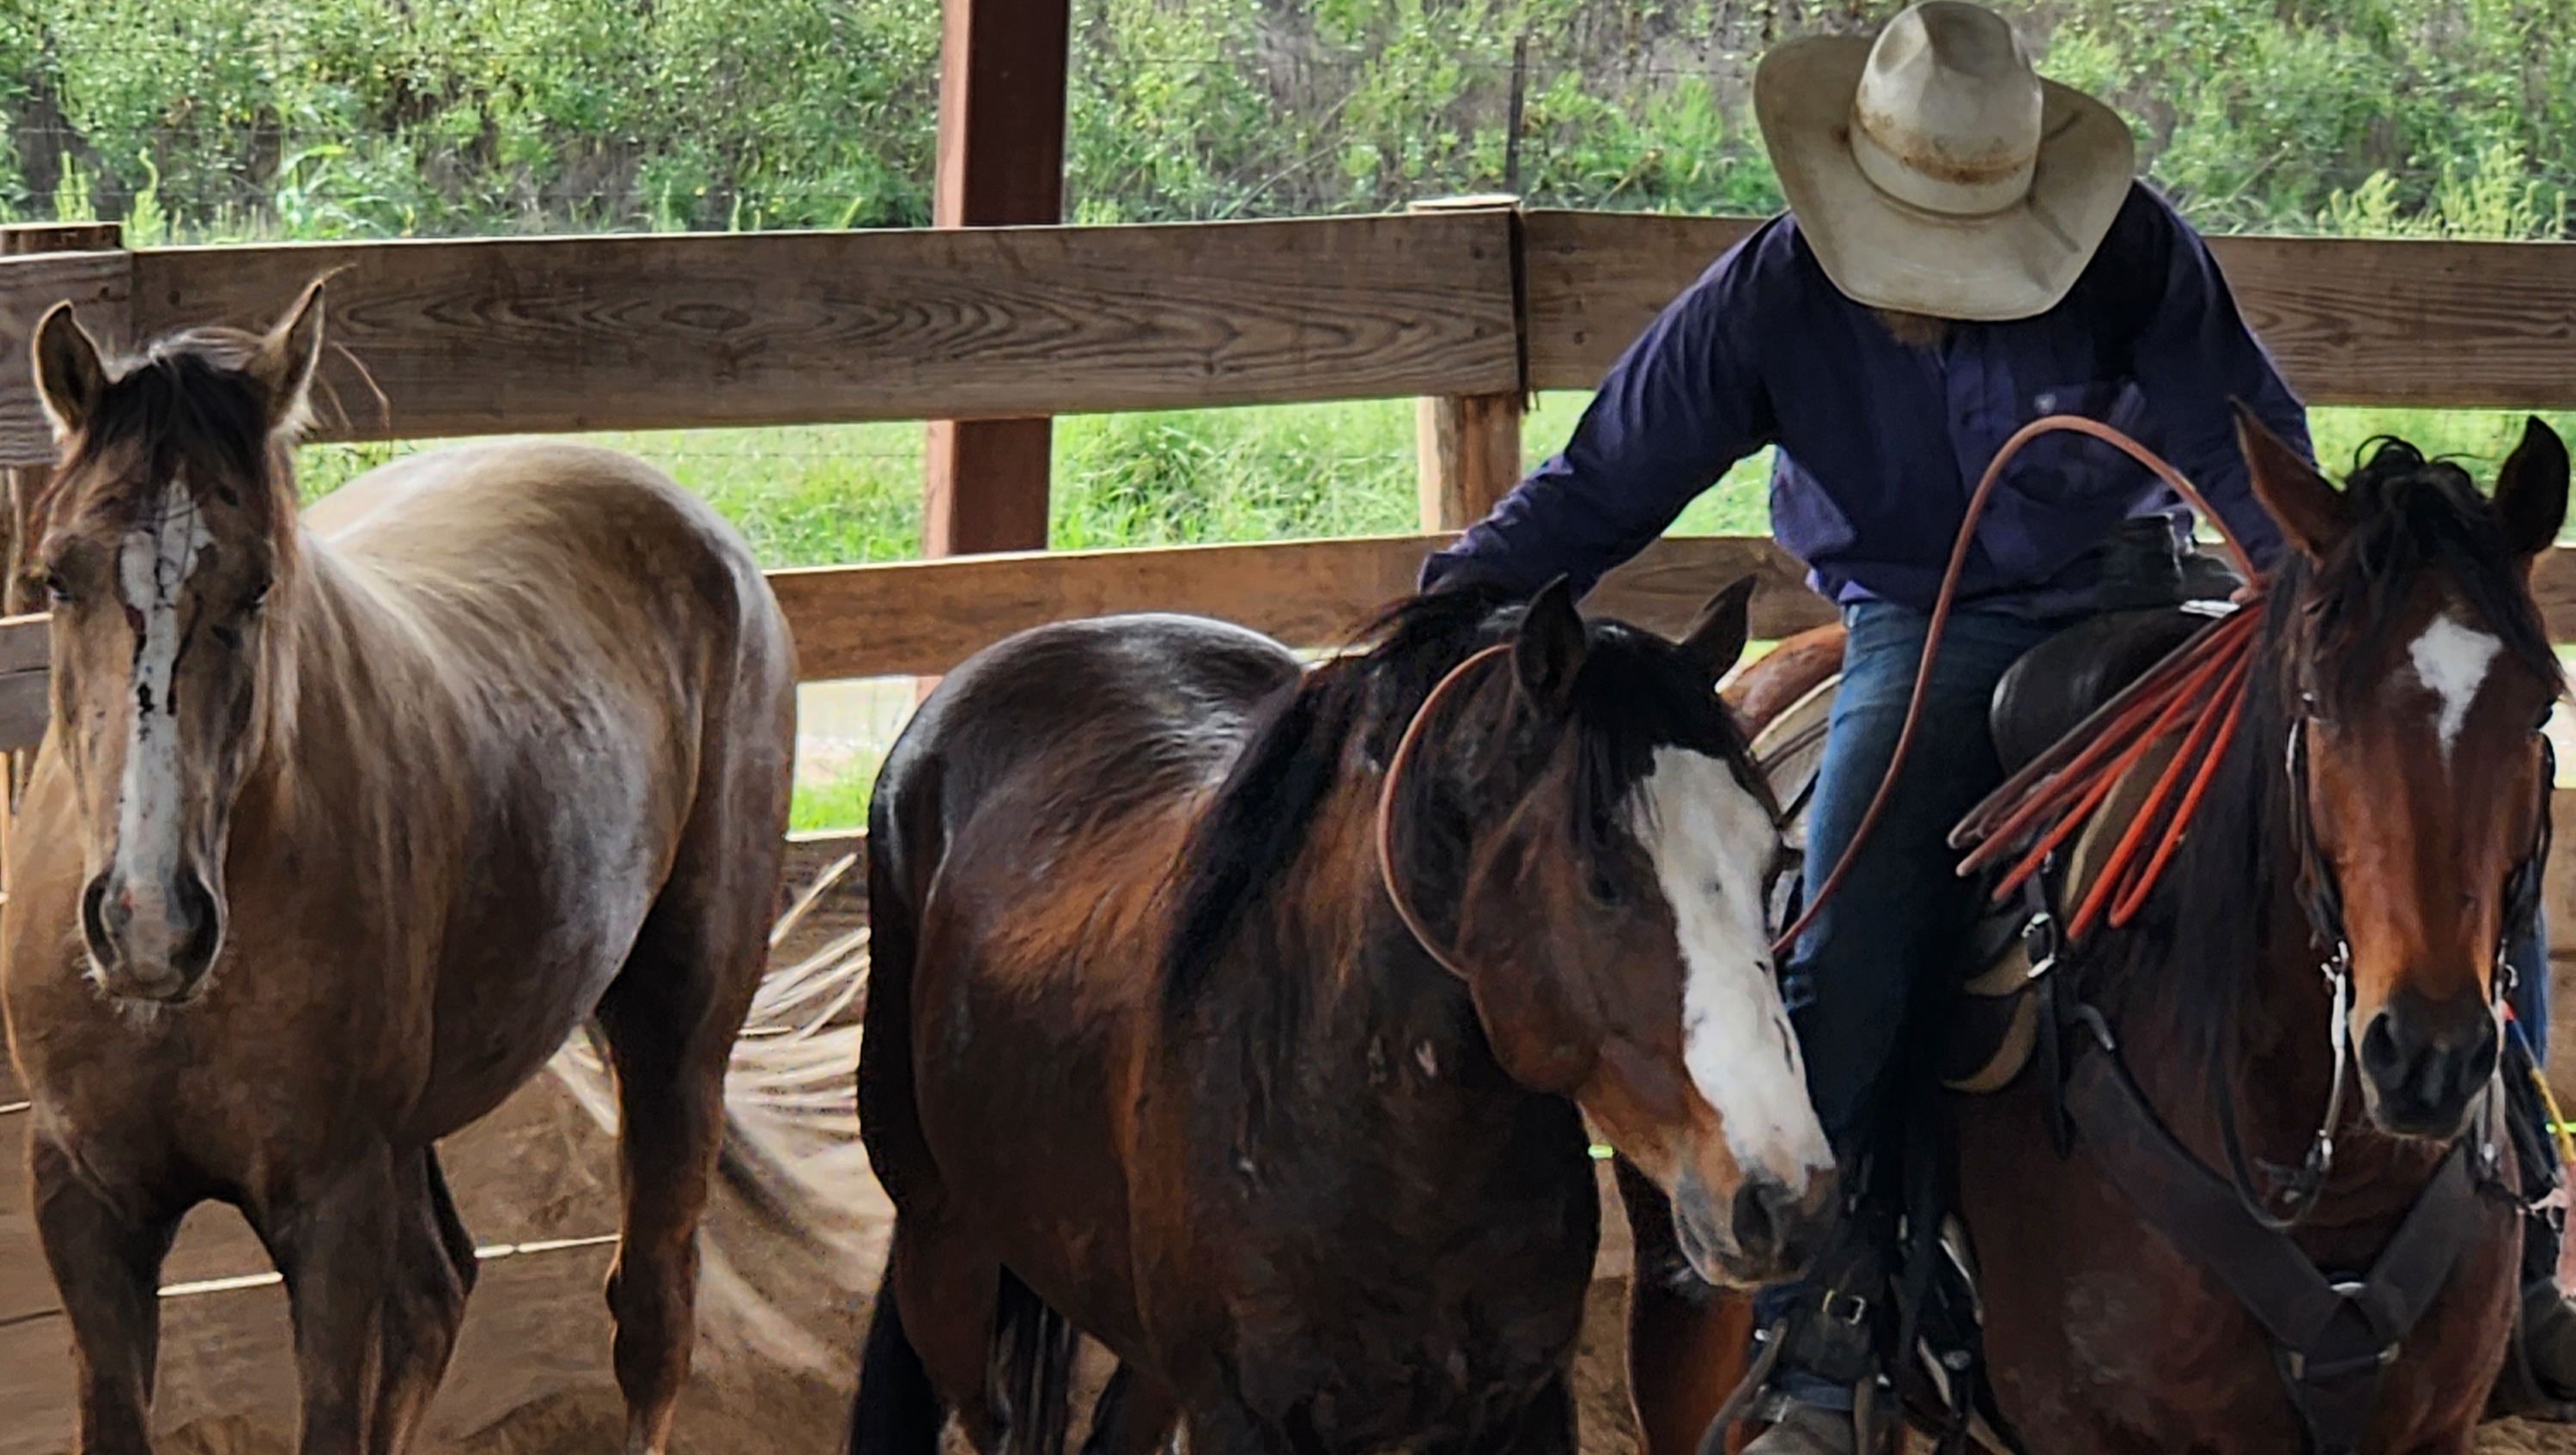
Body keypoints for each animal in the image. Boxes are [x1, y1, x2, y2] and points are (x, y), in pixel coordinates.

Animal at [0, 281, 797, 1455]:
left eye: (259, 586)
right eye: (57, 576)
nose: (150, 926)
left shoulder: (334, 1210)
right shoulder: (88, 1206)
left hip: (677, 1044)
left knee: (653, 1313)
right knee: (440, 1290)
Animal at [848, 578, 1838, 1455]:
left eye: (1775, 861)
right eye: (1601, 874)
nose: (1782, 1195)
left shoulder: (1516, 1407)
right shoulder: (1242, 1418)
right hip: (947, 1260)